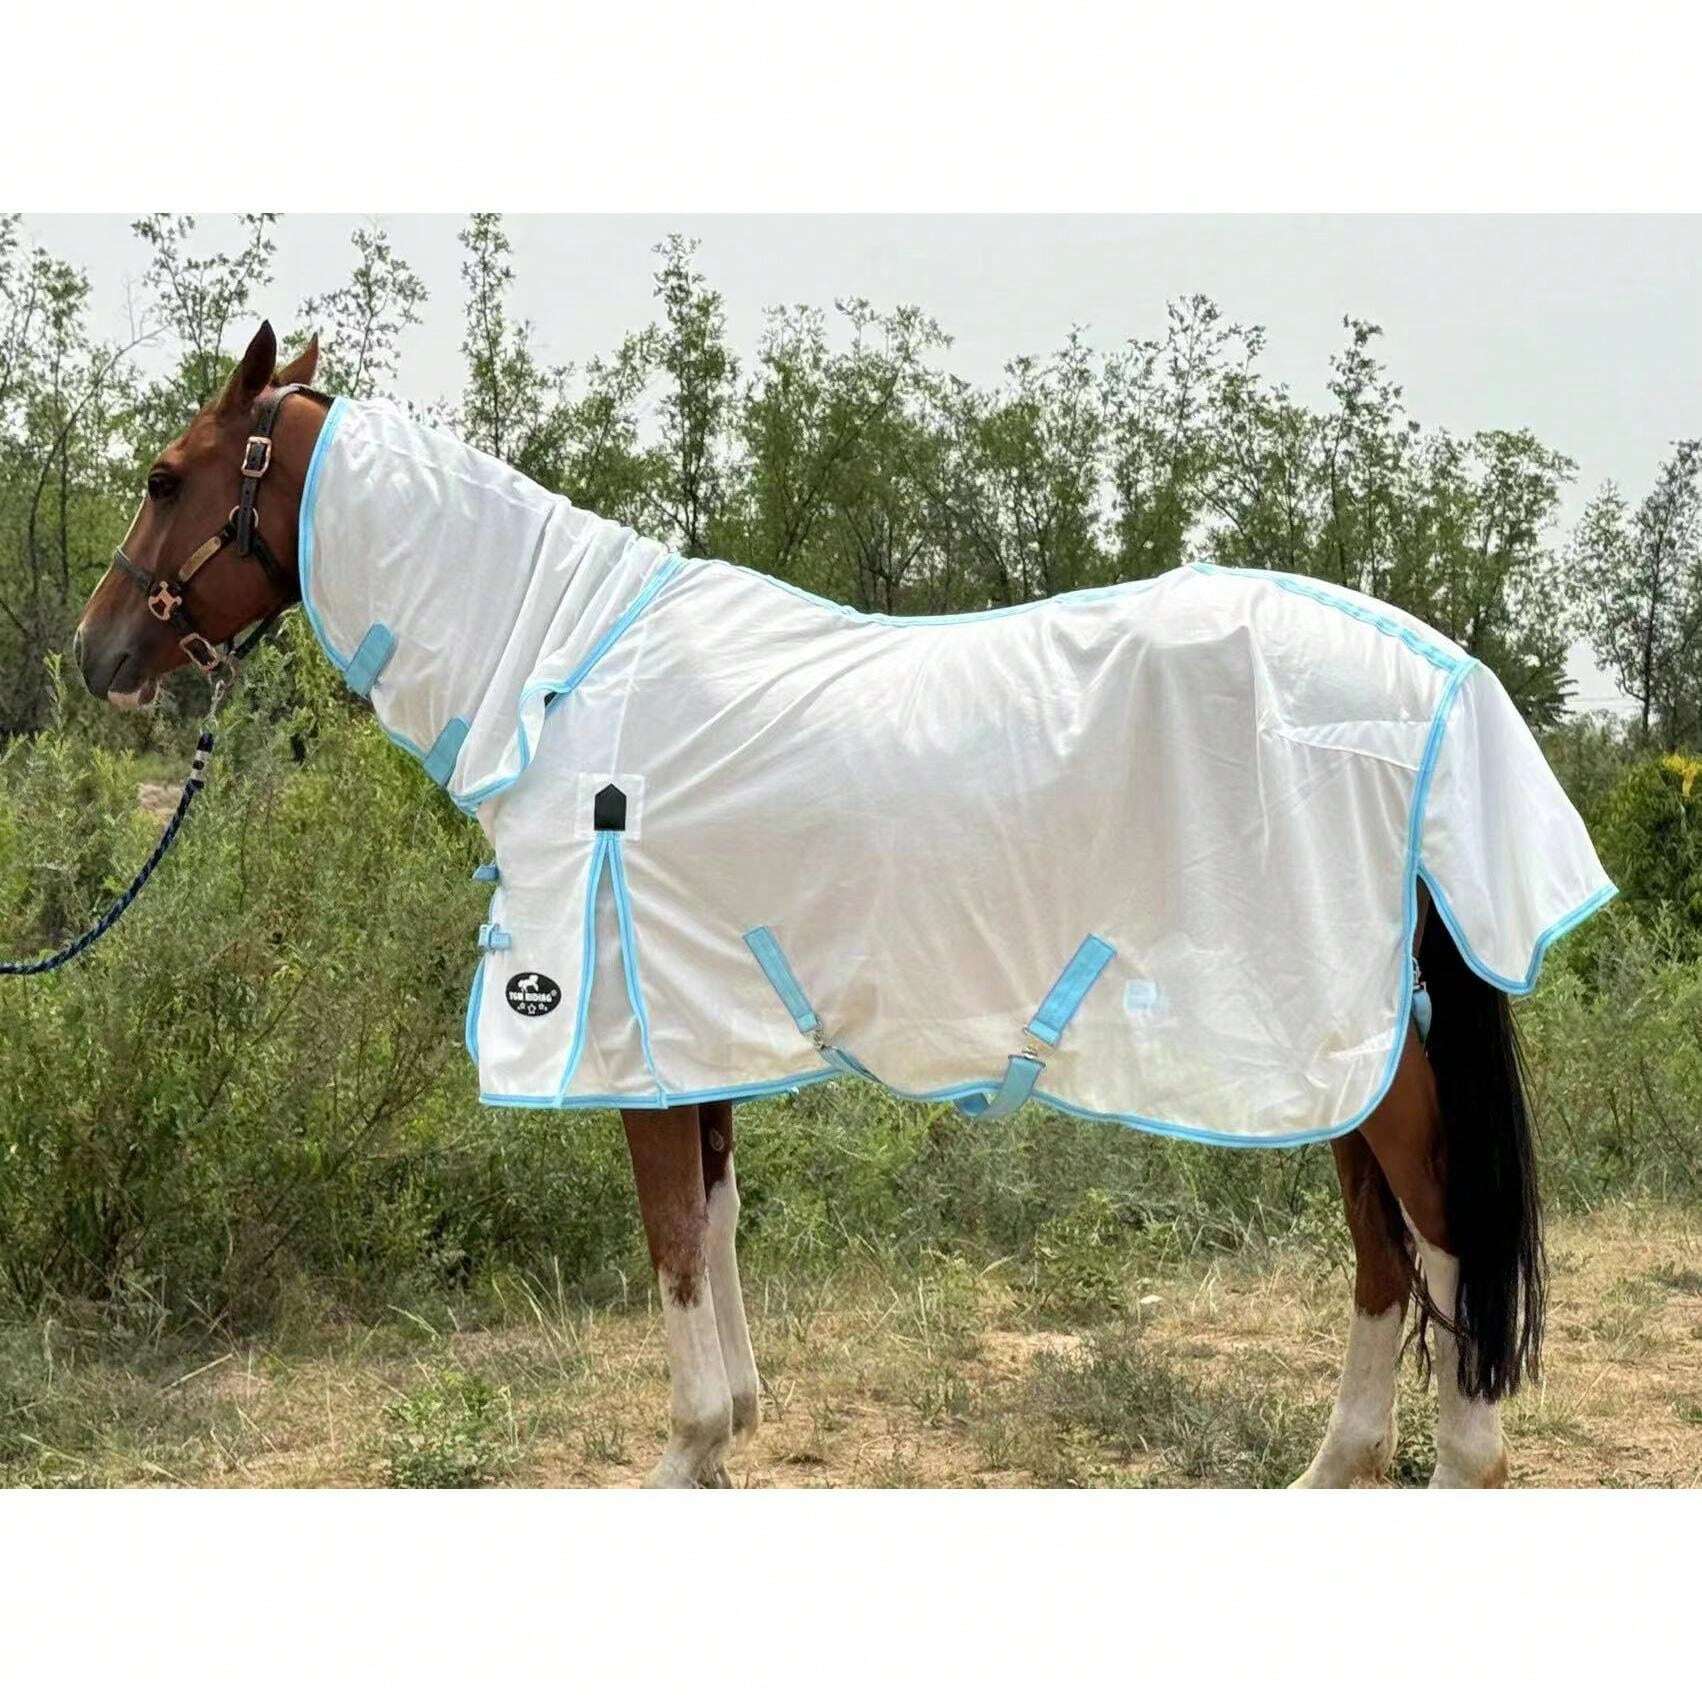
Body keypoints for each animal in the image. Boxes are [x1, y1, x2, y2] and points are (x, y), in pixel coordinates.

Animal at [72, 322, 1614, 1488]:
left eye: (164, 474)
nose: (96, 656)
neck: (565, 670)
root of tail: (1438, 674)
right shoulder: (693, 1024)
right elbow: (716, 1218)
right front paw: (734, 1428)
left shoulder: (627, 1032)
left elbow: (671, 1243)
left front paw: (687, 1450)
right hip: (1334, 1051)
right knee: (1382, 1257)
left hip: (1367, 1056)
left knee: (1443, 1244)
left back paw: (1454, 1463)